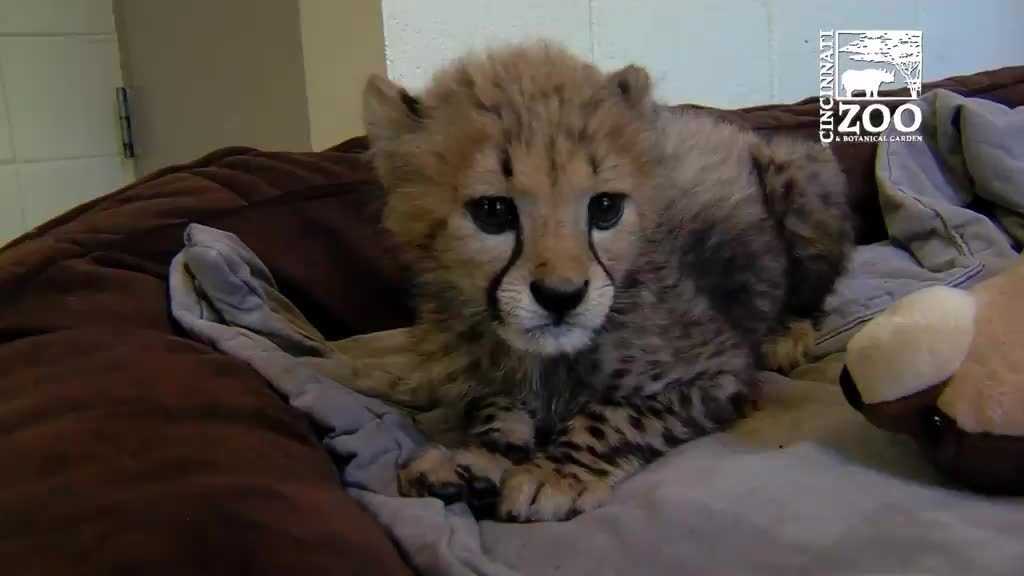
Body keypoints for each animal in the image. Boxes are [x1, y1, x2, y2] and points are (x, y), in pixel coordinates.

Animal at [332, 41, 853, 523]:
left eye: (605, 207)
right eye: (493, 212)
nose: (561, 297)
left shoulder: (720, 373)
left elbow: (614, 414)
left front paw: (554, 472)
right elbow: (492, 405)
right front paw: (476, 458)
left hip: (795, 173)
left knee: (813, 297)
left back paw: (786, 334)